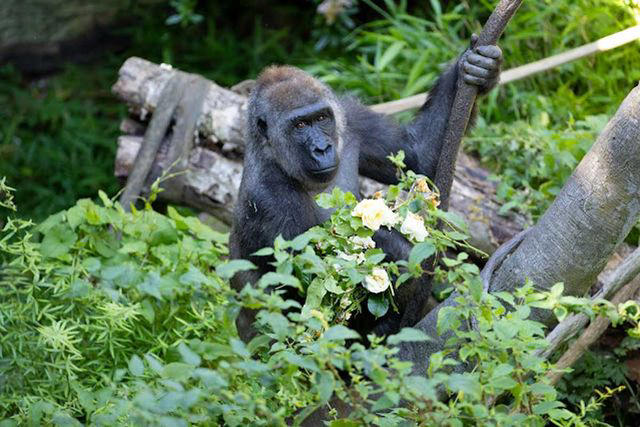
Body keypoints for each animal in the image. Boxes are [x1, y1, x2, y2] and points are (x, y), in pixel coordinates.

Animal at [230, 41, 503, 341]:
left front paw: (471, 68)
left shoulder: (349, 116)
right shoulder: (269, 200)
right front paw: (392, 244)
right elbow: (309, 295)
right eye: (299, 125)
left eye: (321, 118)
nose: (322, 148)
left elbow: (417, 153)